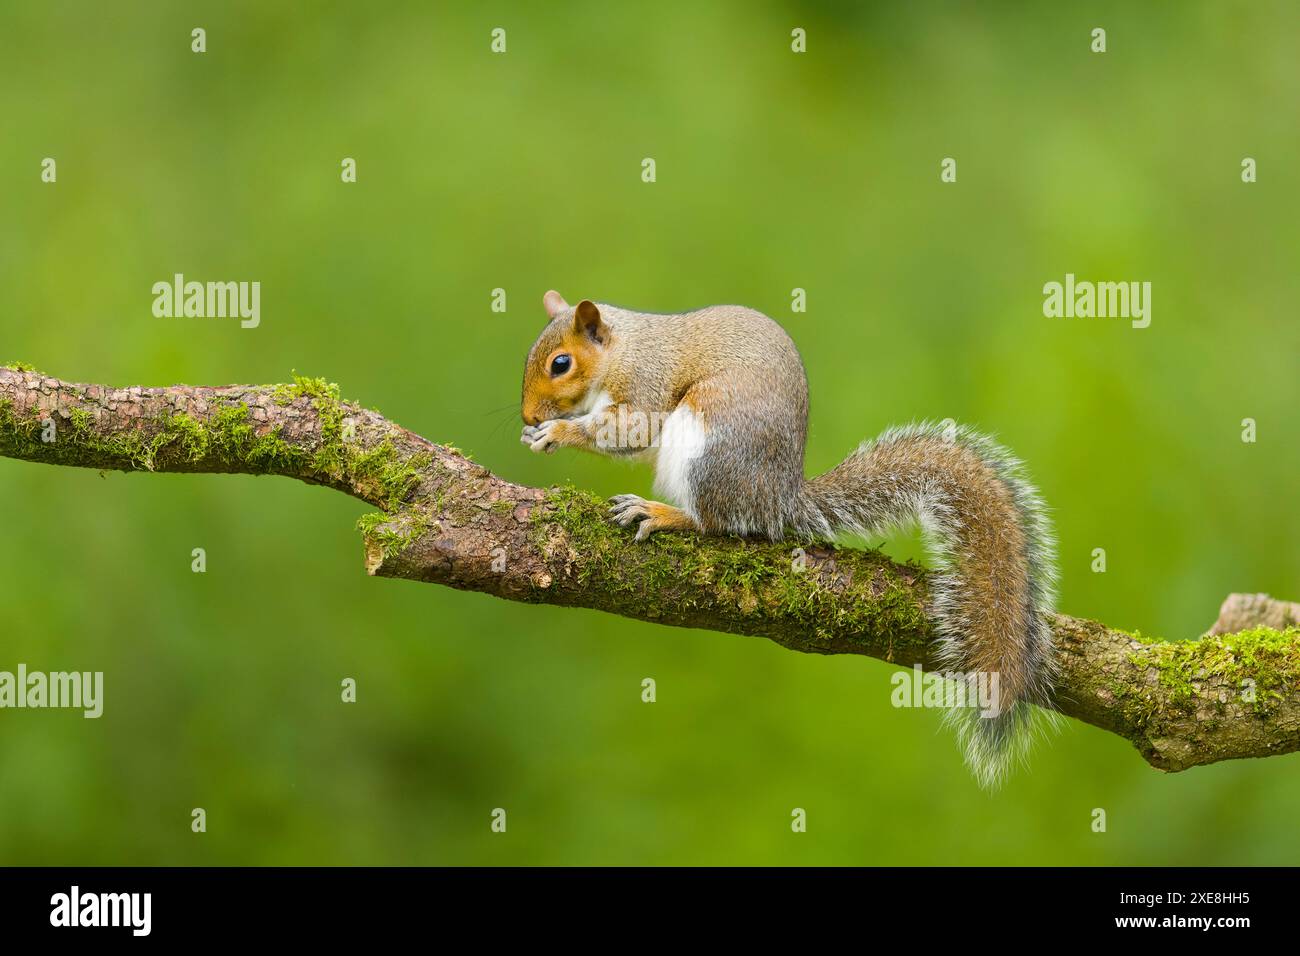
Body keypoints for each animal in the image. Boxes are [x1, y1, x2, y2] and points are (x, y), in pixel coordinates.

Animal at [520, 291, 1057, 787]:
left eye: (561, 363)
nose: (527, 418)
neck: (623, 349)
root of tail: (779, 498)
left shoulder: (644, 385)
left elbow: (626, 429)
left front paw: (560, 432)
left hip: (707, 443)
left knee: (714, 521)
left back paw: (665, 513)